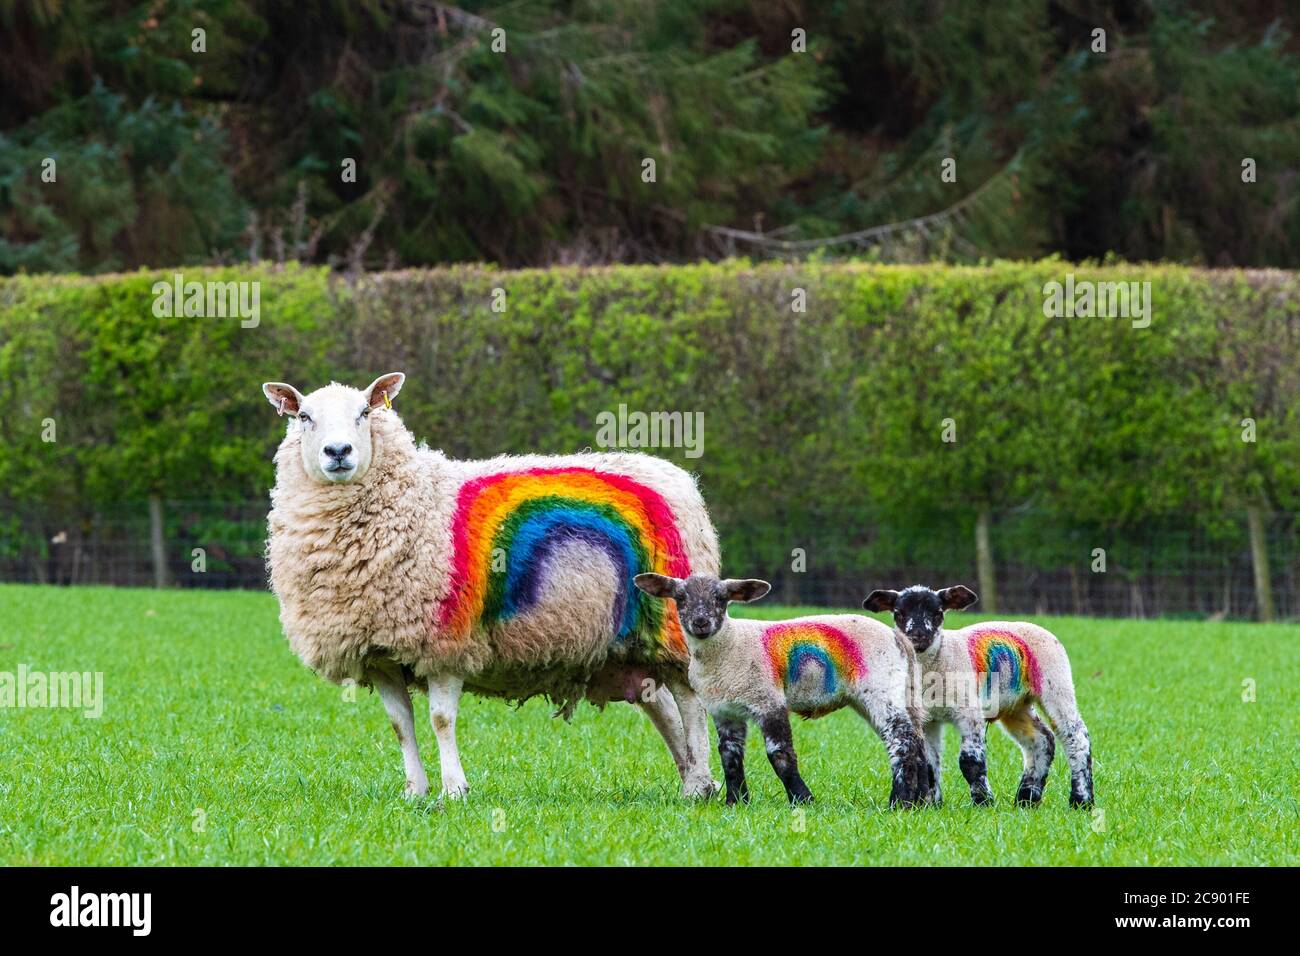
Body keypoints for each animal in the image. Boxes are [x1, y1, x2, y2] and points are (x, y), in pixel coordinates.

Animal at [261, 373, 722, 799]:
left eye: (364, 413)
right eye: (304, 417)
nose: (338, 452)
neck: (411, 498)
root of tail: (677, 476)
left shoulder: (446, 644)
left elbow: (440, 720)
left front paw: (453, 790)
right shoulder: (379, 653)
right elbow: (400, 724)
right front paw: (415, 791)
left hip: (671, 627)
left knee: (690, 703)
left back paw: (698, 784)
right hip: (629, 641)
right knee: (661, 706)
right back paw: (694, 779)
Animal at [633, 572, 927, 807]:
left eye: (721, 598)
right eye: (680, 598)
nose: (701, 622)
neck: (730, 645)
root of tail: (898, 638)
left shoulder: (768, 700)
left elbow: (780, 754)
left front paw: (802, 799)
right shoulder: (725, 710)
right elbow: (729, 755)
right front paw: (736, 802)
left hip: (881, 688)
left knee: (902, 739)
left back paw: (899, 802)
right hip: (887, 694)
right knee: (916, 739)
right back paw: (921, 801)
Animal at [862, 585, 1094, 808]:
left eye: (938, 612)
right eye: (898, 613)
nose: (918, 636)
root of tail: (1034, 625)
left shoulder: (969, 711)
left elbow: (970, 761)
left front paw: (983, 802)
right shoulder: (927, 720)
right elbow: (929, 763)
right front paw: (931, 805)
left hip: (1057, 683)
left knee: (1076, 735)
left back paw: (1081, 800)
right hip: (1016, 705)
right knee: (1041, 739)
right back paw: (1026, 799)